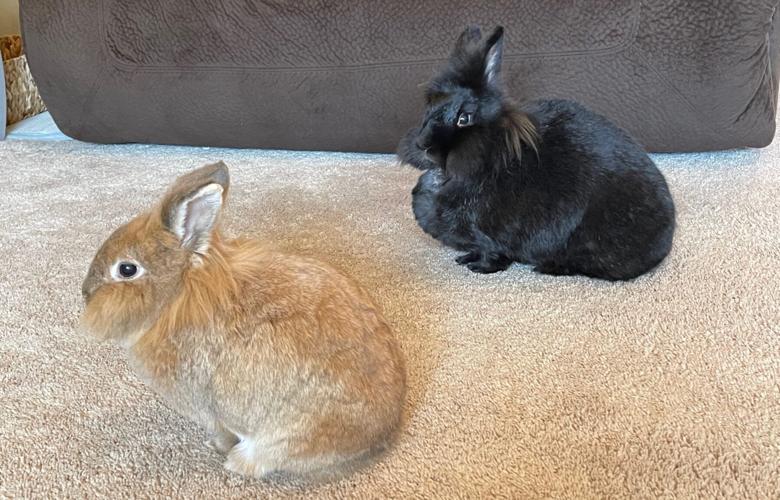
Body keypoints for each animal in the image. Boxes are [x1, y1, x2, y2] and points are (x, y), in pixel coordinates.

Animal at [79, 162, 406, 482]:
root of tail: (380, 439)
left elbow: (221, 431)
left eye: (127, 269)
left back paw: (234, 463)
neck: (178, 297)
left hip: (281, 438)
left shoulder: (208, 410)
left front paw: (215, 446)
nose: (84, 292)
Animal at [398, 26, 676, 281]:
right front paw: (465, 258)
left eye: (464, 119)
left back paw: (549, 267)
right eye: (429, 107)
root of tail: (667, 235)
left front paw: (477, 266)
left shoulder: (493, 237)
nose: (423, 145)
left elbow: (492, 254)